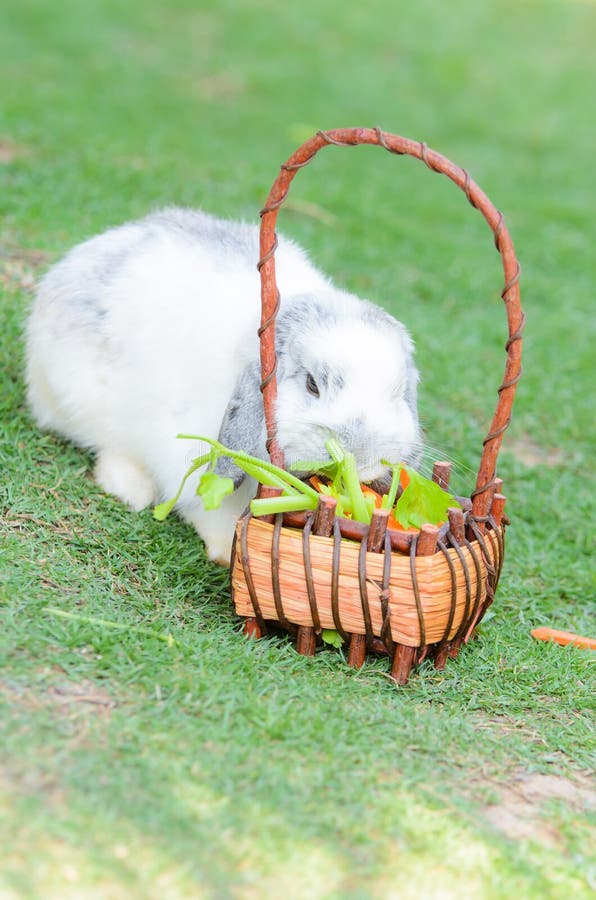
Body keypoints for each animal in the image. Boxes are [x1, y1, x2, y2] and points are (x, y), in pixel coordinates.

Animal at [26, 207, 422, 565]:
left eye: (397, 393)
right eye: (312, 385)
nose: (361, 456)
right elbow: (208, 505)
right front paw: (226, 552)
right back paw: (130, 489)